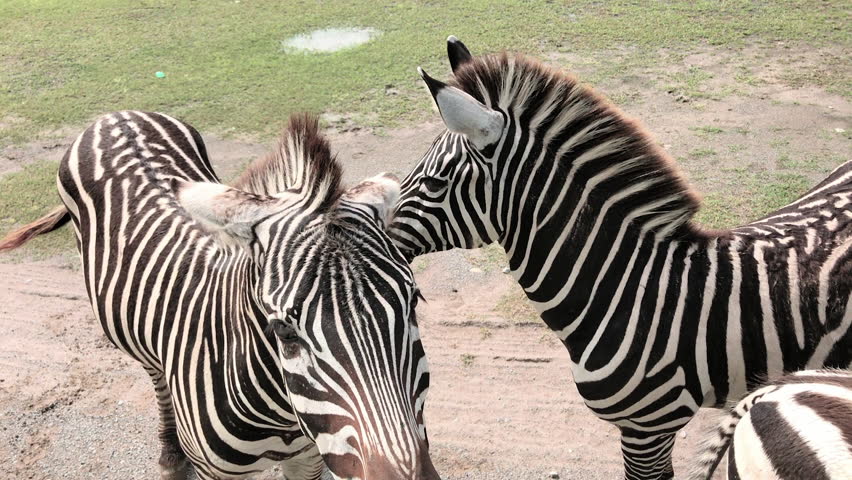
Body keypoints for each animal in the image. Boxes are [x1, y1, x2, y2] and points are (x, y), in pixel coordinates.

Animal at [0, 111, 438, 480]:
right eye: (283, 331)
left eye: (413, 301)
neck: (279, 416)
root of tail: (114, 115)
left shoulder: (308, 458)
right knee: (155, 376)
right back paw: (170, 456)